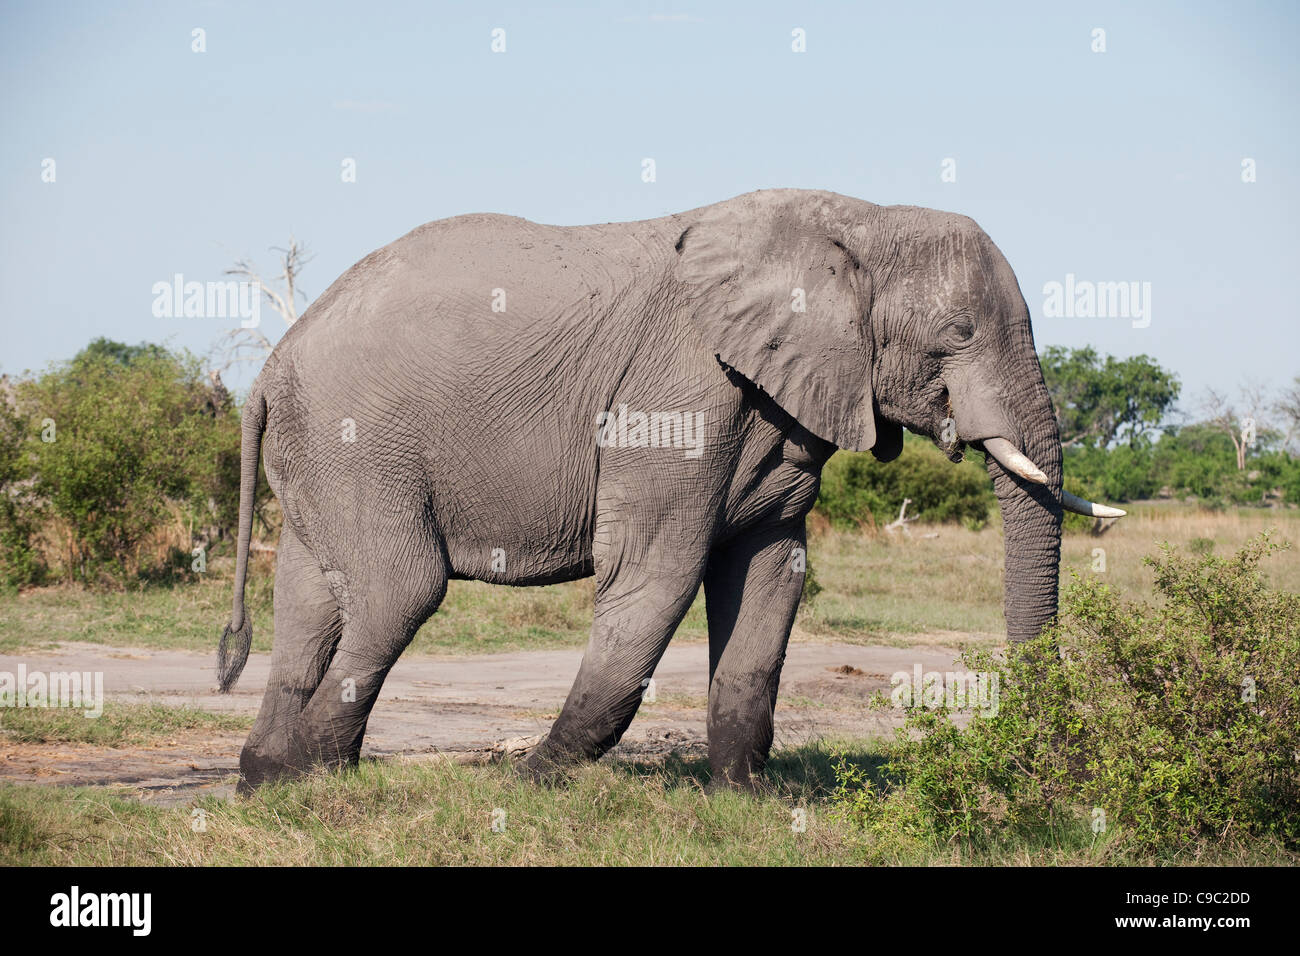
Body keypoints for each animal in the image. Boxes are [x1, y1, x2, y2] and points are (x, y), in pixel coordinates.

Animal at [217, 188, 1124, 792]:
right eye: (957, 335)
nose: (1059, 772)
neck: (855, 216)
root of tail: (268, 371)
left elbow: (772, 576)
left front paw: (747, 802)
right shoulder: (679, 394)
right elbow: (655, 575)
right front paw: (528, 784)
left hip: (324, 456)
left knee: (308, 600)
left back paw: (269, 779)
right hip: (359, 442)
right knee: (399, 591)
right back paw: (318, 781)